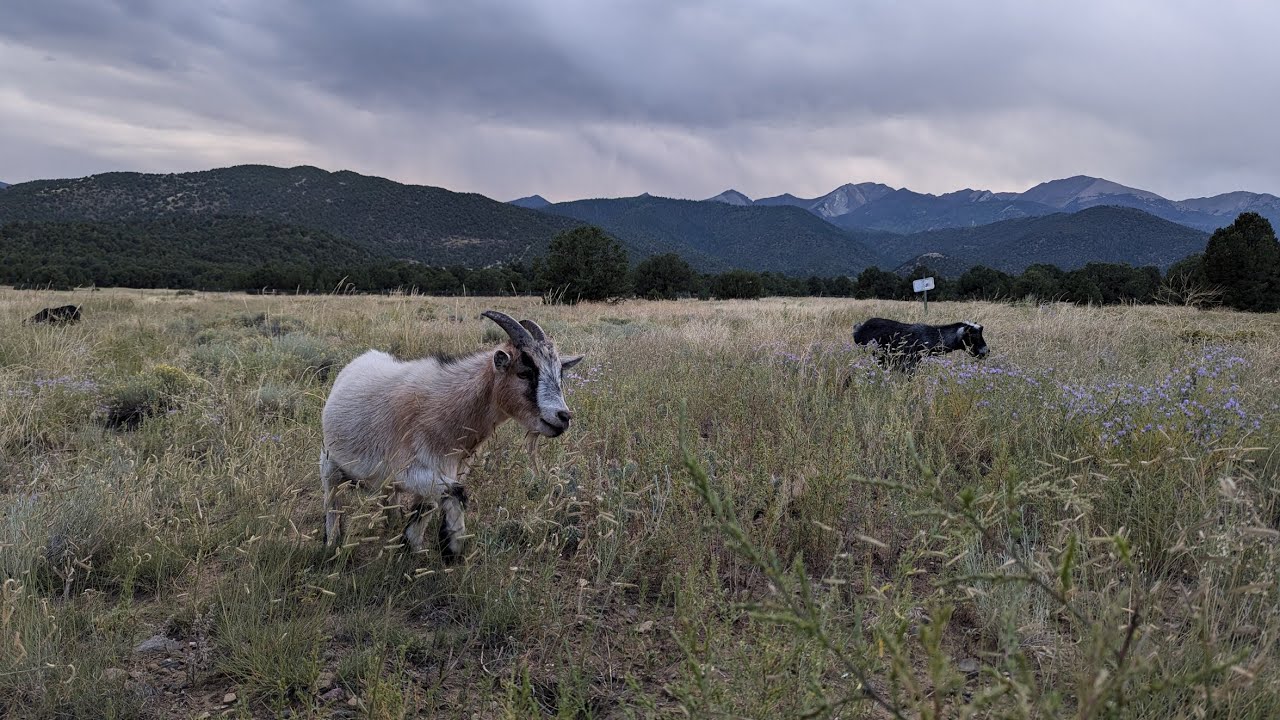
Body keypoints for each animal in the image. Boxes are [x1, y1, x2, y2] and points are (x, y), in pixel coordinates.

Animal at [320, 310, 583, 562]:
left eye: (560, 374)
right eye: (524, 372)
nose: (563, 416)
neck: (443, 406)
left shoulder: (446, 471)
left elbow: (426, 508)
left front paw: (413, 548)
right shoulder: (407, 470)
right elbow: (456, 492)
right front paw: (451, 547)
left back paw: (390, 522)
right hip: (330, 461)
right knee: (332, 499)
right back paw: (332, 543)